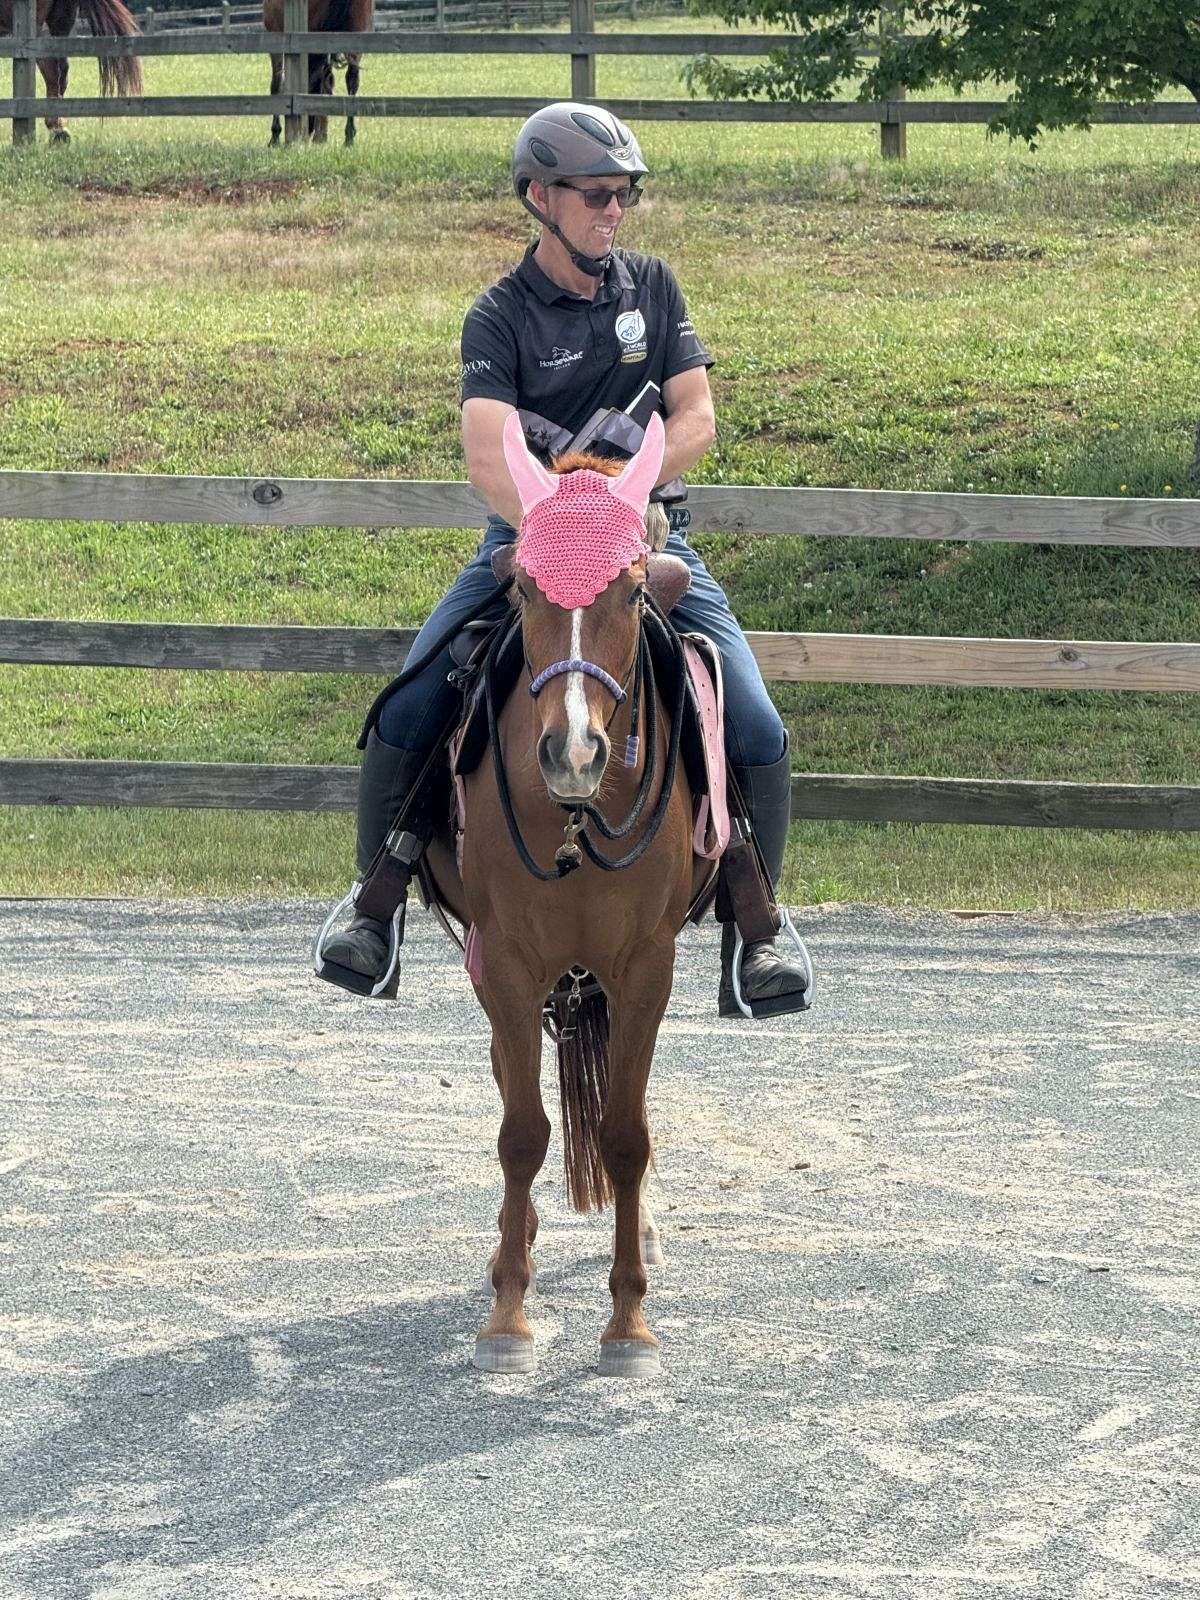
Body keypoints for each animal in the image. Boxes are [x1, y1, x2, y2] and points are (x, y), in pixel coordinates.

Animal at [421, 412, 716, 1378]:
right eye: (525, 590)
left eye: (631, 591)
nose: (574, 752)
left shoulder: (646, 969)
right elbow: (522, 1132)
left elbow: (626, 1136)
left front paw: (629, 1324)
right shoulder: (508, 965)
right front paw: (509, 1315)